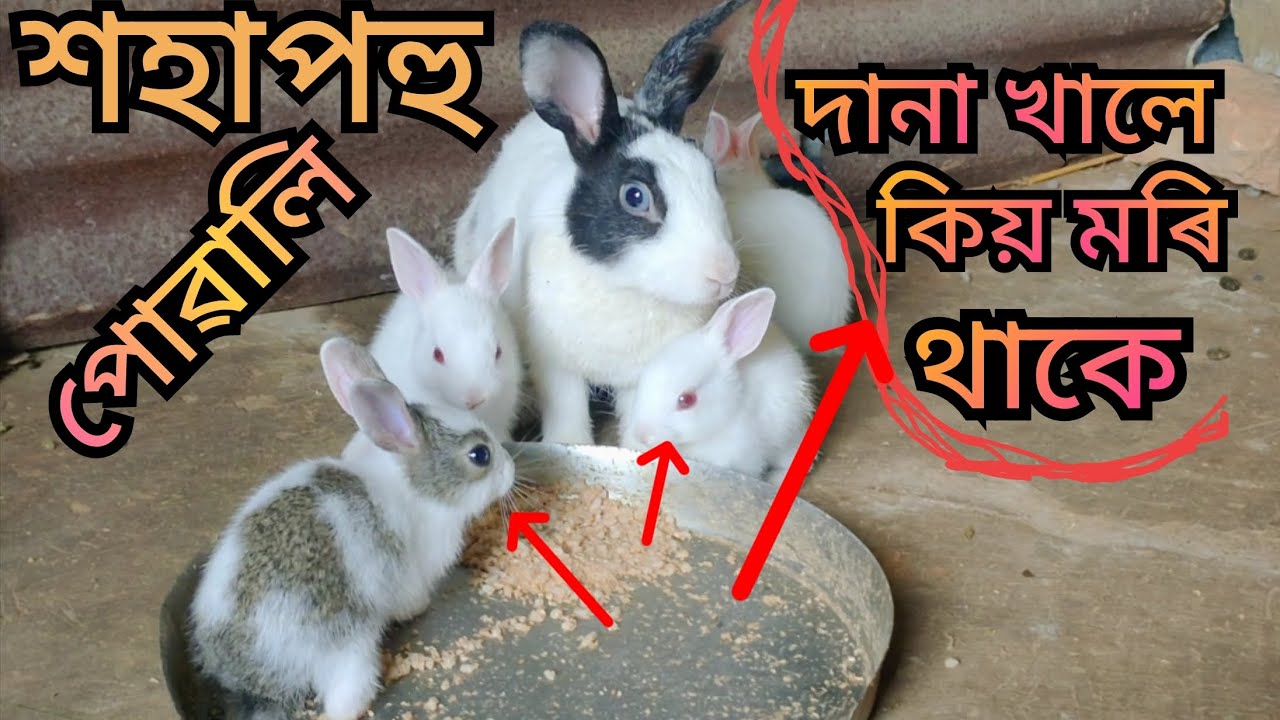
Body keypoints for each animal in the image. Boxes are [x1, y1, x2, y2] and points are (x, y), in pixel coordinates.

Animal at [189, 337, 515, 720]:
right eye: (480, 455)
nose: (511, 469)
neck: (413, 489)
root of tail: (250, 673)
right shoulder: (407, 576)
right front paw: (416, 609)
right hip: (348, 649)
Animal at [450, 0, 755, 446]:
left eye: (709, 173)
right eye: (635, 197)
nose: (723, 273)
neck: (626, 287)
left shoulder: (641, 373)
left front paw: (636, 450)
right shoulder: (555, 364)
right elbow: (566, 407)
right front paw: (567, 444)